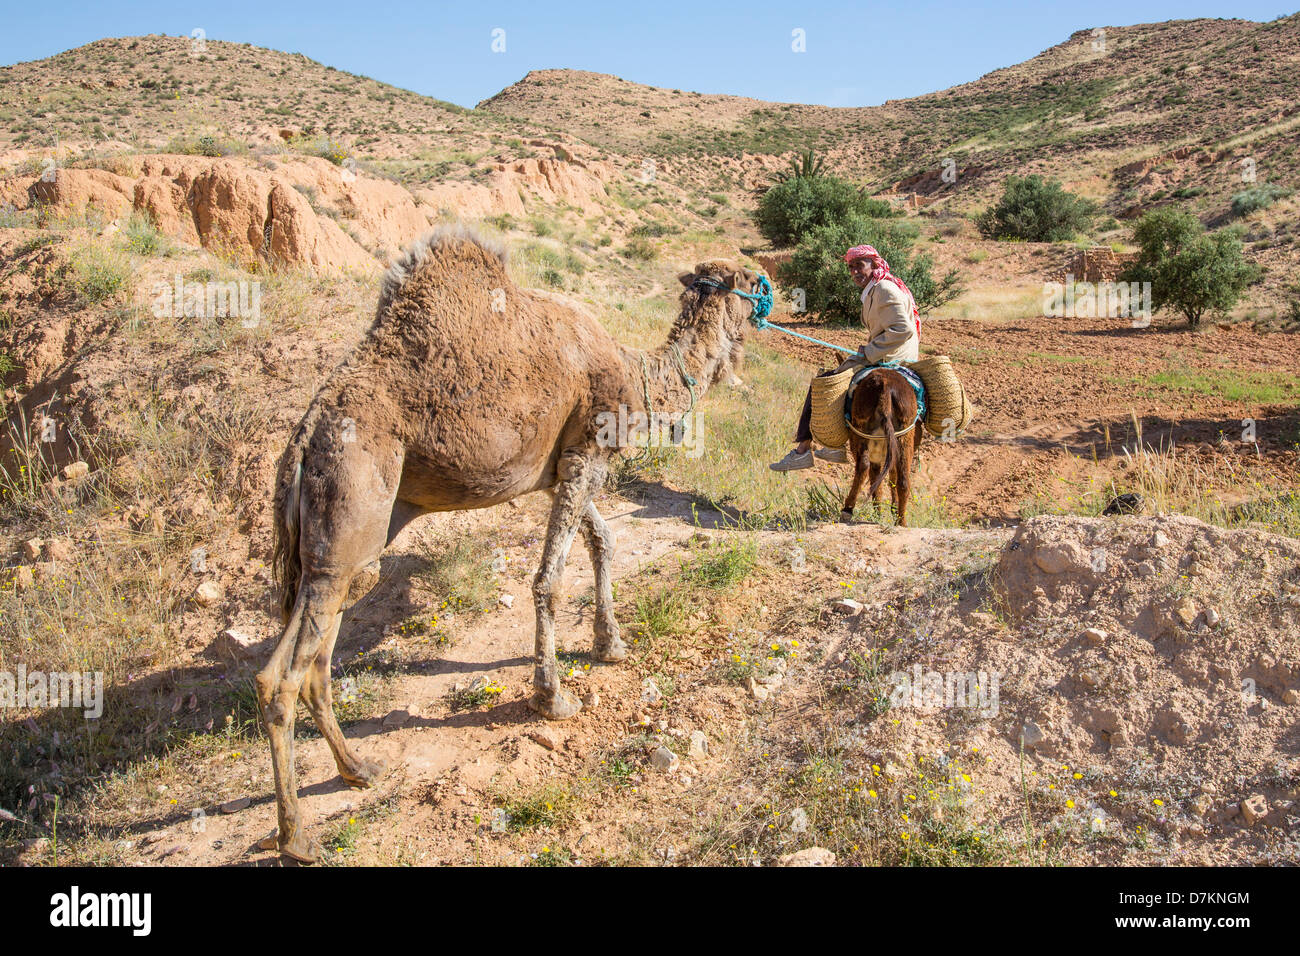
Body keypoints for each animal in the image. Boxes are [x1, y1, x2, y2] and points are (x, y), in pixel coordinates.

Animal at [256, 225, 764, 861]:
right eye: (749, 281)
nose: (773, 289)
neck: (636, 373)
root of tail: (304, 436)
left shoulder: (564, 465)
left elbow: (604, 540)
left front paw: (610, 645)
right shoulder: (588, 450)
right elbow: (549, 579)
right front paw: (552, 698)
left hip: (344, 544)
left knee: (317, 659)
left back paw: (358, 770)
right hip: (348, 506)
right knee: (282, 677)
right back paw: (297, 836)